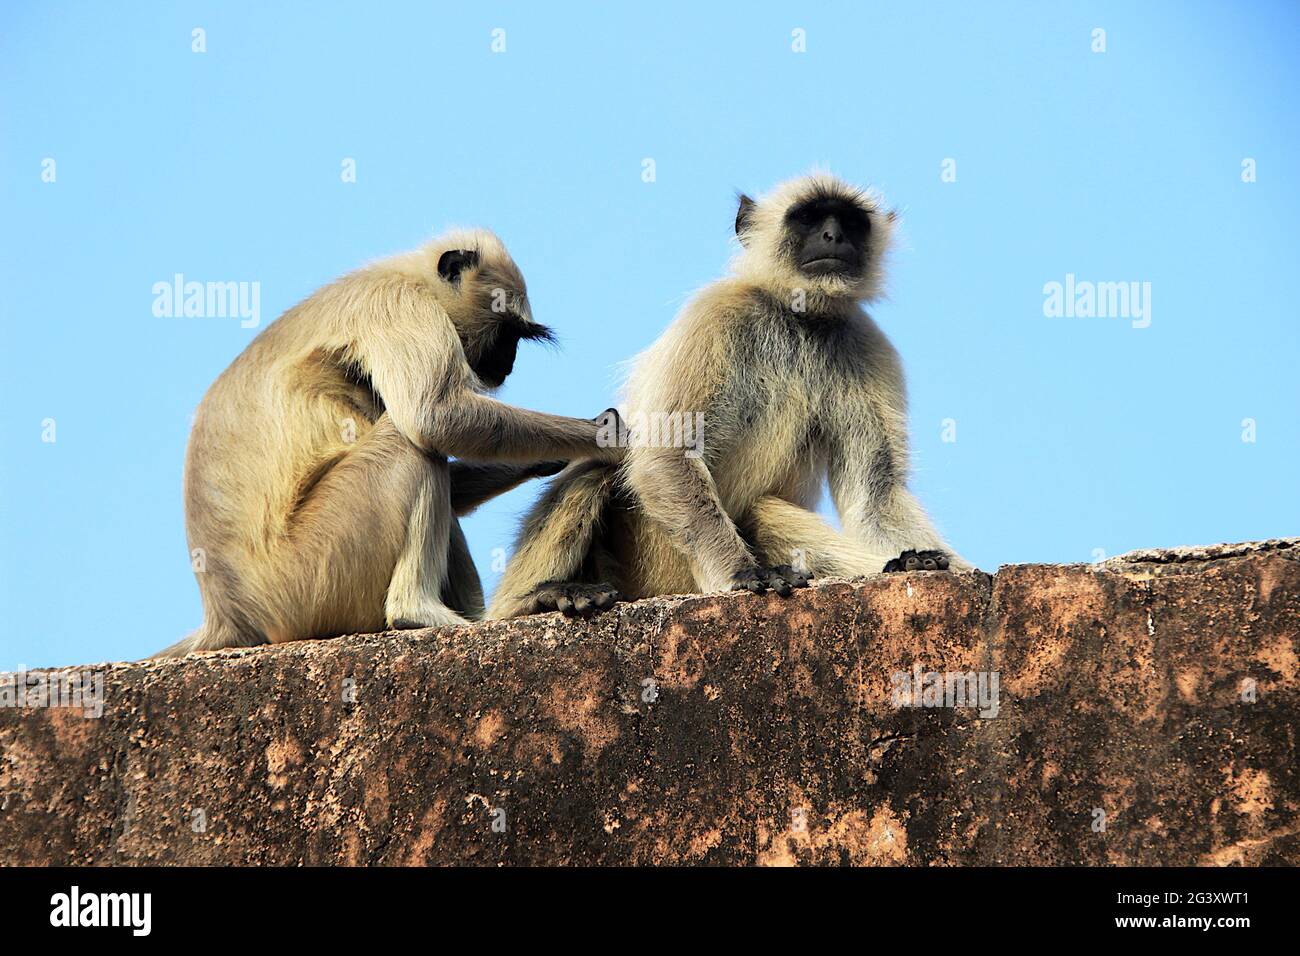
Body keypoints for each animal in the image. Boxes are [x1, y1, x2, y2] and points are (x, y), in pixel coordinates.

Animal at [154, 229, 620, 657]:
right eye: (507, 334)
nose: (508, 363)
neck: (408, 275)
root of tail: (226, 610)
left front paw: (550, 457)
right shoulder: (400, 305)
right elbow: (435, 418)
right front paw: (610, 439)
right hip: (308, 574)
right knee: (407, 441)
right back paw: (425, 613)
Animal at [486, 172, 970, 620]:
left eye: (850, 222)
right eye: (809, 218)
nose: (833, 236)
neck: (796, 316)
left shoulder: (866, 344)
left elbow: (876, 495)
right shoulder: (716, 315)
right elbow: (668, 454)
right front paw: (745, 573)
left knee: (764, 508)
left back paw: (903, 564)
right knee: (600, 462)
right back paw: (534, 600)